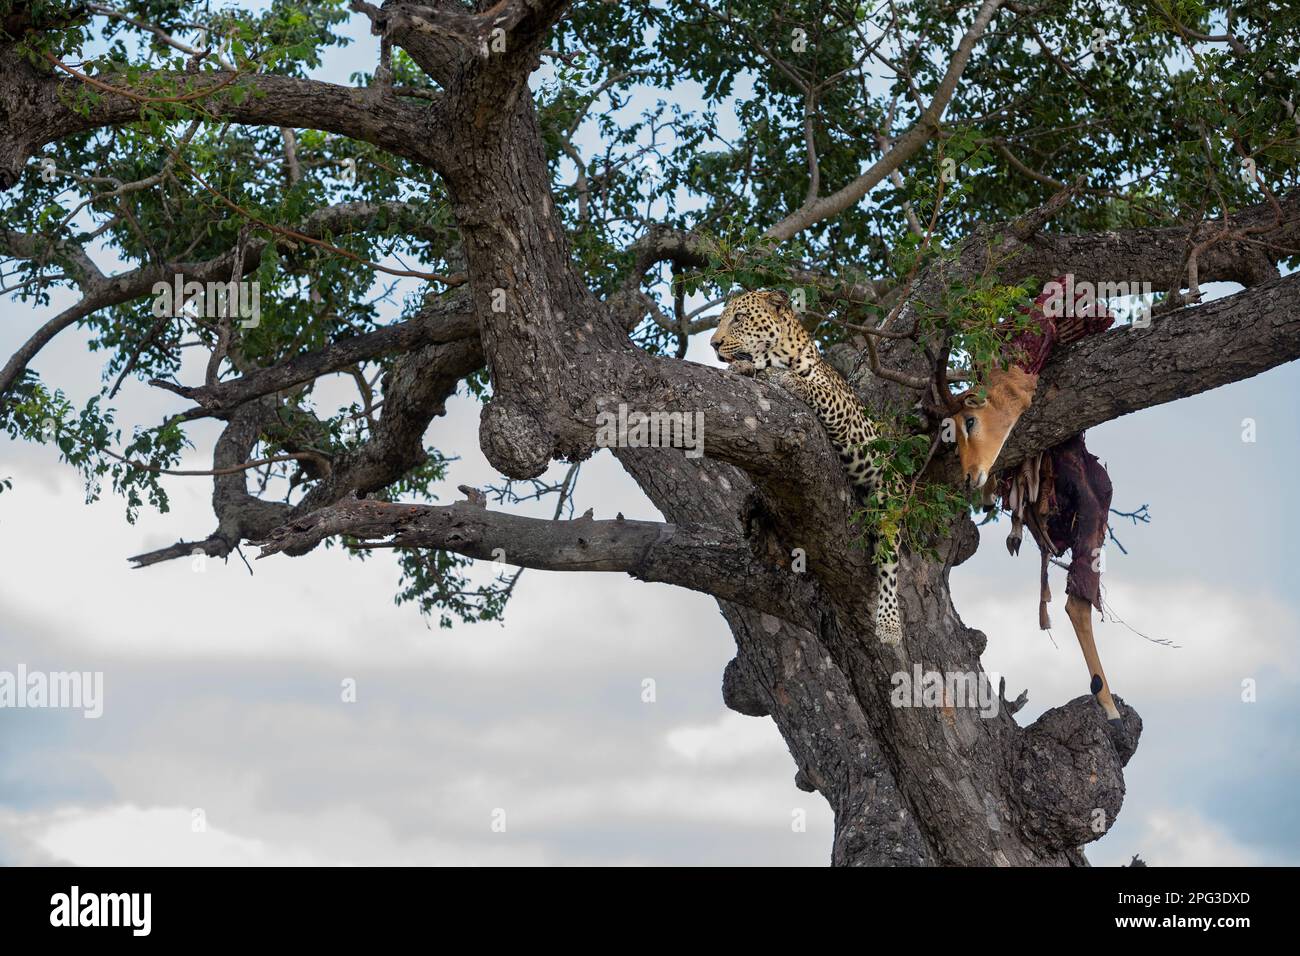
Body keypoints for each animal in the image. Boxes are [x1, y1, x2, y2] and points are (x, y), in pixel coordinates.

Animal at [710, 289, 904, 645]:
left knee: (889, 564)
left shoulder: (848, 417)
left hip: (888, 495)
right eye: (720, 320)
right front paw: (746, 367)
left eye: (739, 318)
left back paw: (889, 624)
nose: (714, 343)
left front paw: (787, 379)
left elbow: (816, 389)